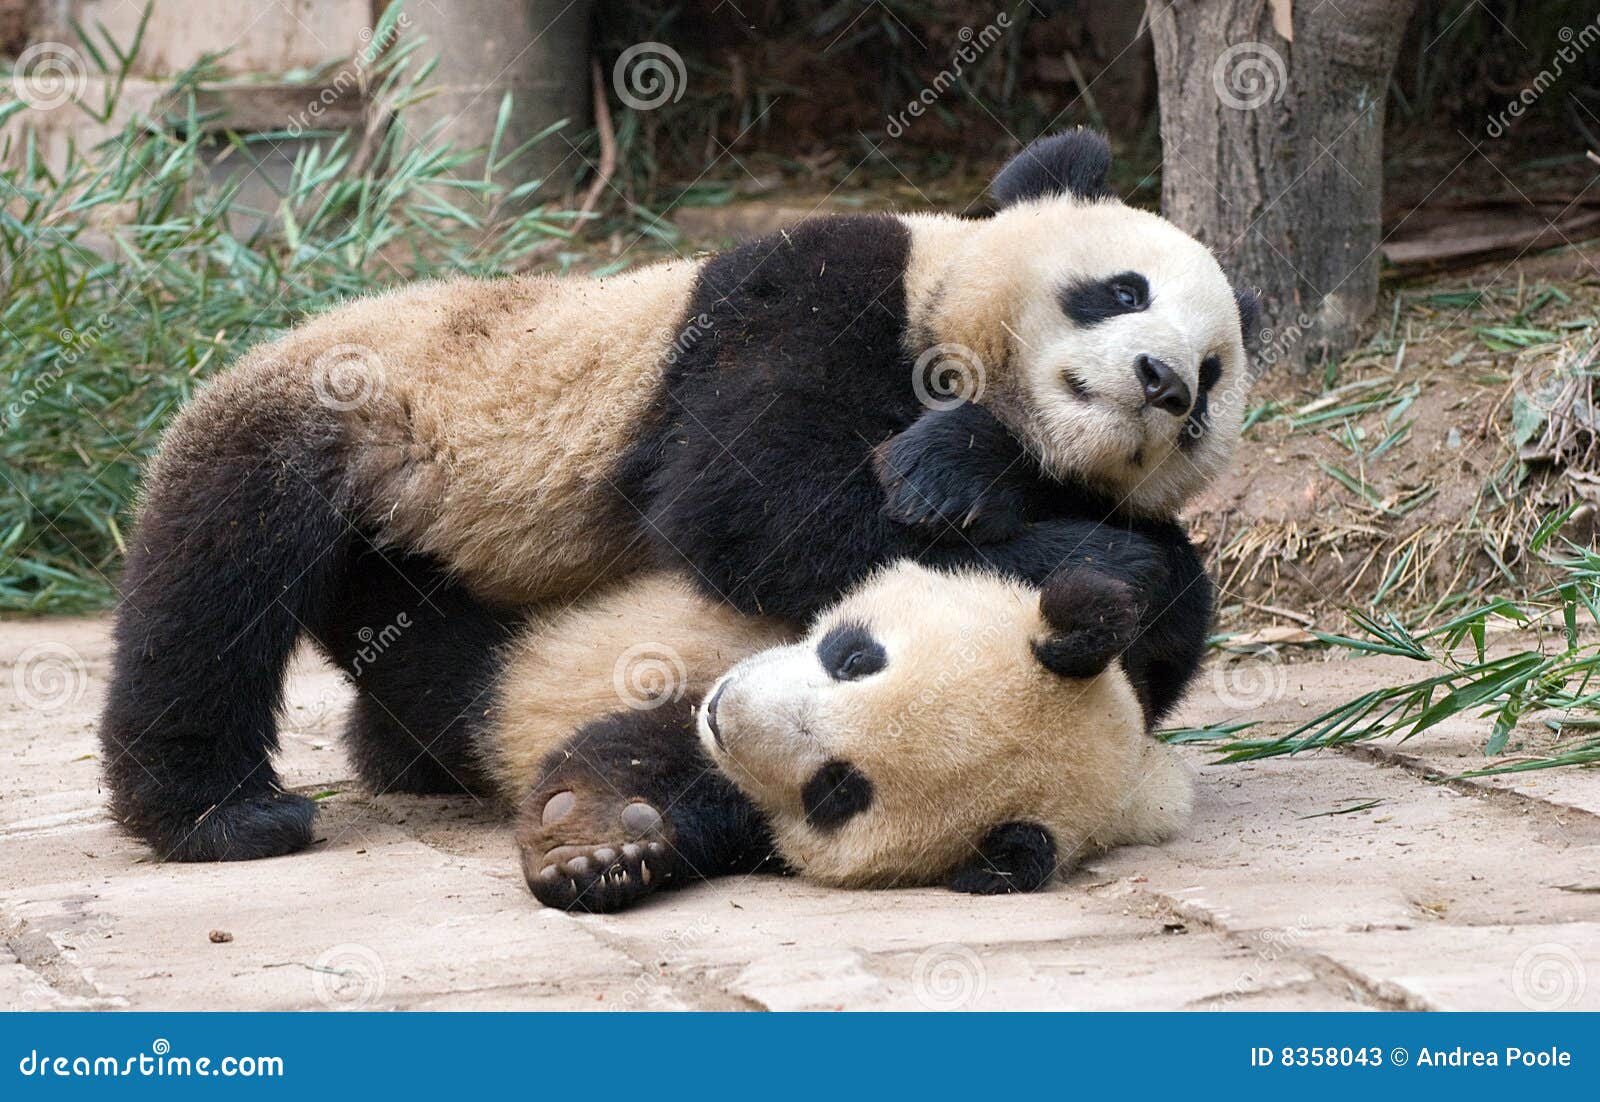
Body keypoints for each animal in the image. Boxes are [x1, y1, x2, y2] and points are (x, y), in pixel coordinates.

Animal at [101, 129, 1256, 863]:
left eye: (1210, 384)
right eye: (1120, 290)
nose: (1161, 382)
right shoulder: (823, 285)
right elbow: (758, 506)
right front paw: (1049, 525)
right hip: (347, 411)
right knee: (218, 576)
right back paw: (218, 815)